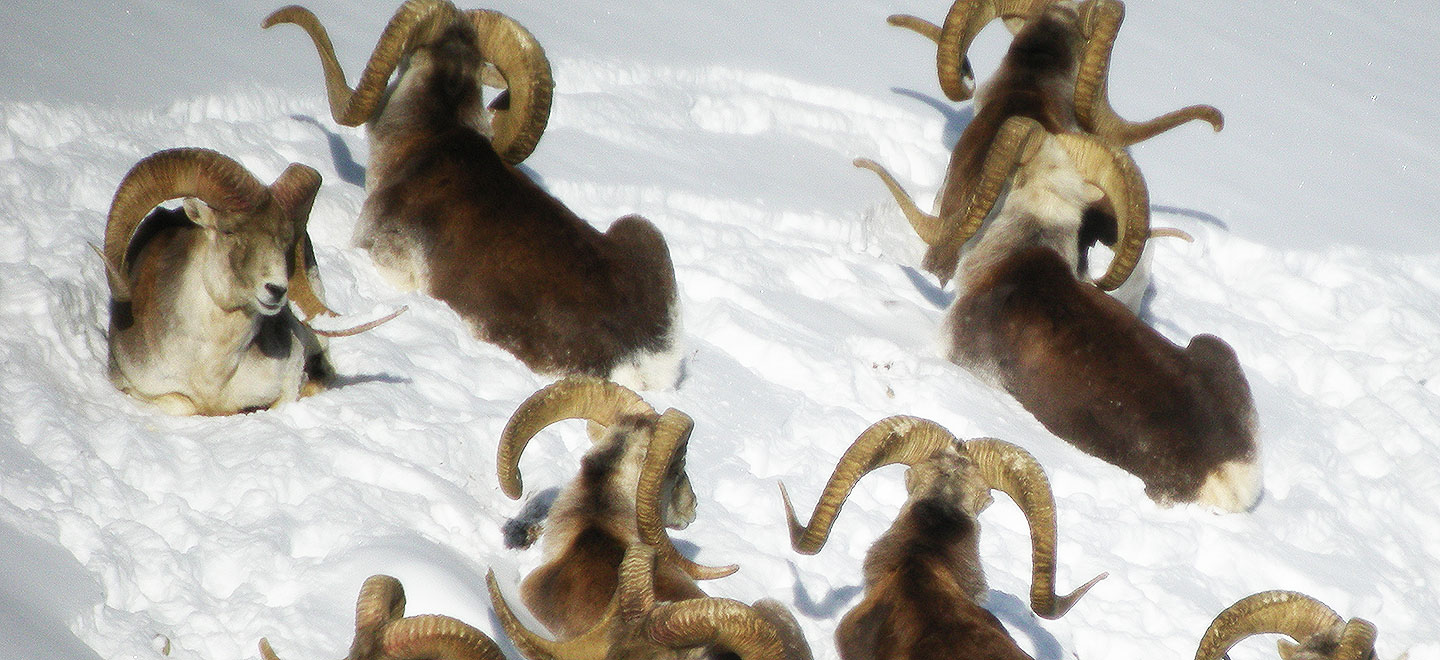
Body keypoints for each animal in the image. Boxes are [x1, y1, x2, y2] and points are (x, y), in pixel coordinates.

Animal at [99, 147, 338, 416]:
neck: (213, 372)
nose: (276, 290)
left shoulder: (290, 376)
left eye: (285, 241)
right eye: (228, 231)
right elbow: (182, 405)